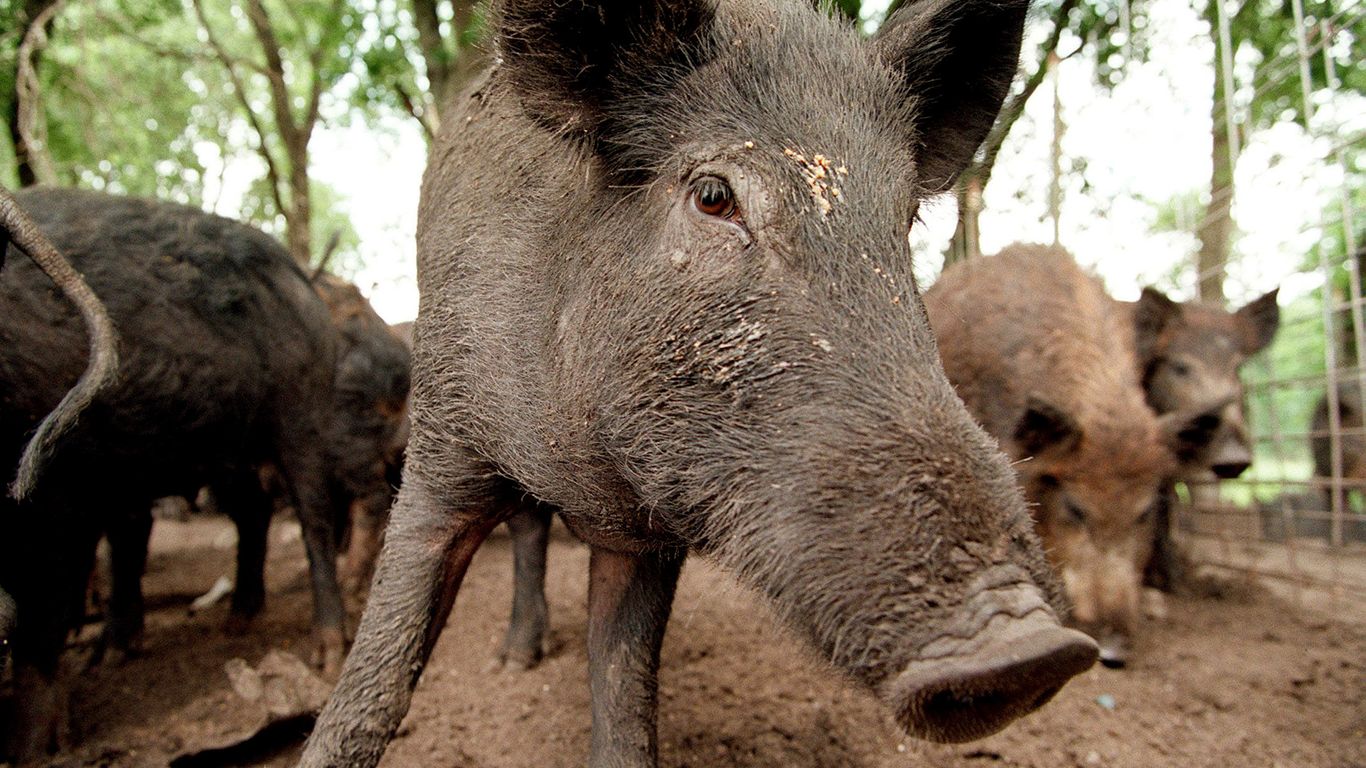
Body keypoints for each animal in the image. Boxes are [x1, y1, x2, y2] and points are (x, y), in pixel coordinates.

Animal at [0, 187, 345, 762]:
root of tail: (297, 273)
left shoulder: (54, 489)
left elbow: (41, 614)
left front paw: (33, 751)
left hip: (303, 411)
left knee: (313, 517)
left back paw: (328, 653)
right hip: (227, 448)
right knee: (250, 512)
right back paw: (235, 622)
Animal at [298, 2, 1099, 767]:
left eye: (902, 220)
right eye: (714, 195)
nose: (1029, 649)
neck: (583, 470)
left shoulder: (646, 538)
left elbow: (625, 695)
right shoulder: (440, 442)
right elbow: (376, 683)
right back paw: (516, 661)